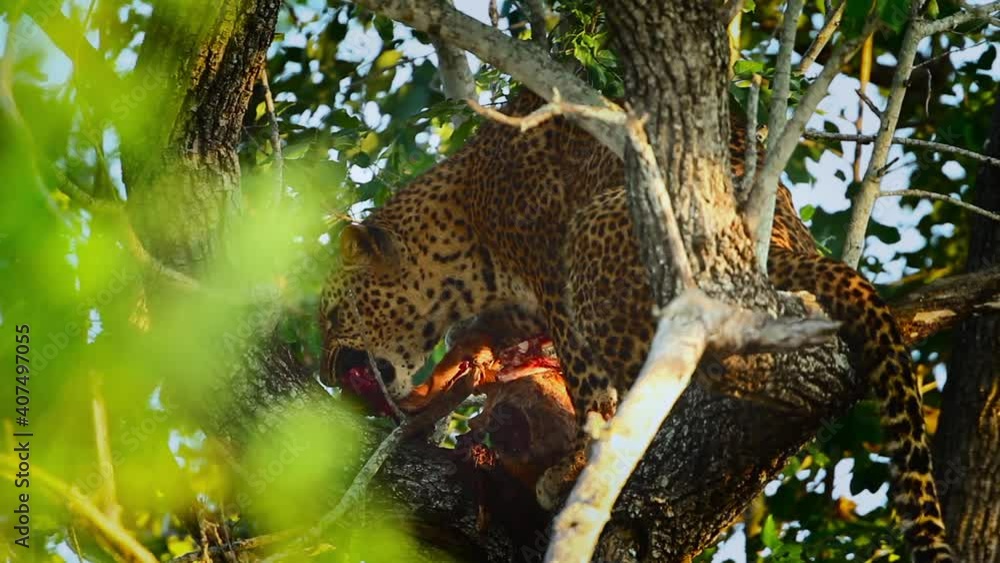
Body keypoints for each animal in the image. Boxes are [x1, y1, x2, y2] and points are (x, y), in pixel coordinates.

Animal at [319, 90, 953, 563]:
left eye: (330, 317)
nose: (327, 373)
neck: (463, 229)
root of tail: (782, 239)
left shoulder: (550, 272)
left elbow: (585, 384)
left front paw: (573, 464)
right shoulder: (517, 302)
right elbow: (470, 340)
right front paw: (435, 390)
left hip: (600, 231)